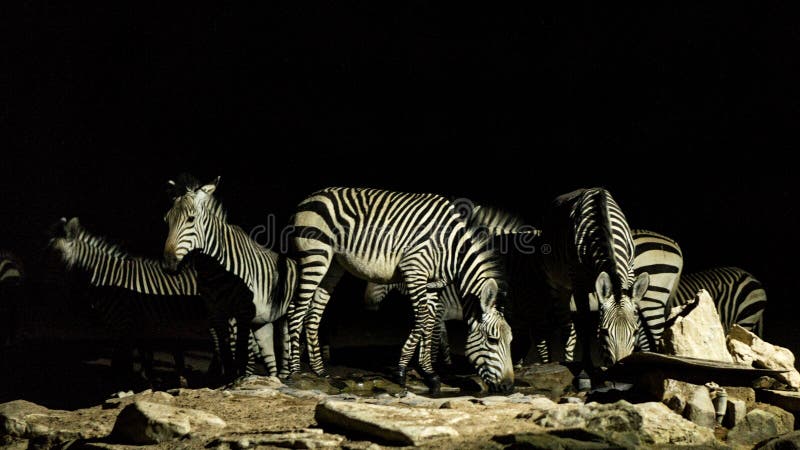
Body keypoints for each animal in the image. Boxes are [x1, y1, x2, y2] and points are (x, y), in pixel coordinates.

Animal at [50, 217, 264, 382]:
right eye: (46, 254)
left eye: (58, 255)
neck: (107, 278)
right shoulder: (139, 323)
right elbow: (143, 353)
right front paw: (146, 377)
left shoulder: (126, 323)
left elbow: (121, 358)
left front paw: (124, 381)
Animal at [162, 174, 299, 379]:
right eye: (166, 221)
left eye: (191, 219)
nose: (168, 264)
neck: (212, 268)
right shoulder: (215, 312)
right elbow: (225, 351)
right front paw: (228, 380)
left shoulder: (241, 311)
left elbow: (241, 352)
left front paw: (240, 379)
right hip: (264, 321)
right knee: (272, 357)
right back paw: (275, 378)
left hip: (290, 313)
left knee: (289, 344)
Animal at [286, 187, 516, 393]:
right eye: (493, 340)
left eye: (510, 341)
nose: (509, 387)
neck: (452, 249)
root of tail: (309, 198)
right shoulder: (414, 269)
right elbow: (422, 320)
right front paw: (404, 372)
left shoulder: (432, 283)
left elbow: (428, 323)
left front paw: (427, 373)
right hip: (315, 255)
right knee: (296, 310)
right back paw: (293, 373)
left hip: (333, 264)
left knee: (313, 313)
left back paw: (319, 371)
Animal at [537, 188, 650, 369]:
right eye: (605, 332)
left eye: (635, 332)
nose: (620, 367)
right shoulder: (578, 283)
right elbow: (585, 324)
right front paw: (587, 362)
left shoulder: (629, 272)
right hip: (556, 285)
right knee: (567, 331)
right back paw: (566, 361)